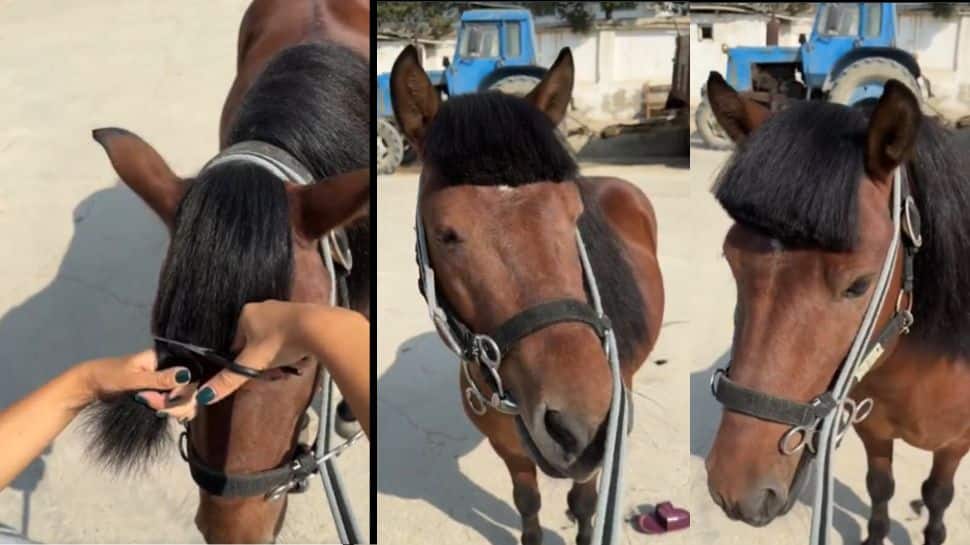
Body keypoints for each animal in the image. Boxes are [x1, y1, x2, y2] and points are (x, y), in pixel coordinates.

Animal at [389, 45, 664, 545]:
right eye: (445, 234)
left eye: (573, 213)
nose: (579, 423)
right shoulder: (509, 447)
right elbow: (527, 502)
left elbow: (585, 501)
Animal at [703, 71, 970, 545]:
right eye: (732, 260)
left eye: (859, 285)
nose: (734, 489)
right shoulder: (873, 431)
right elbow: (880, 488)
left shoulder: (954, 445)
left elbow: (937, 497)